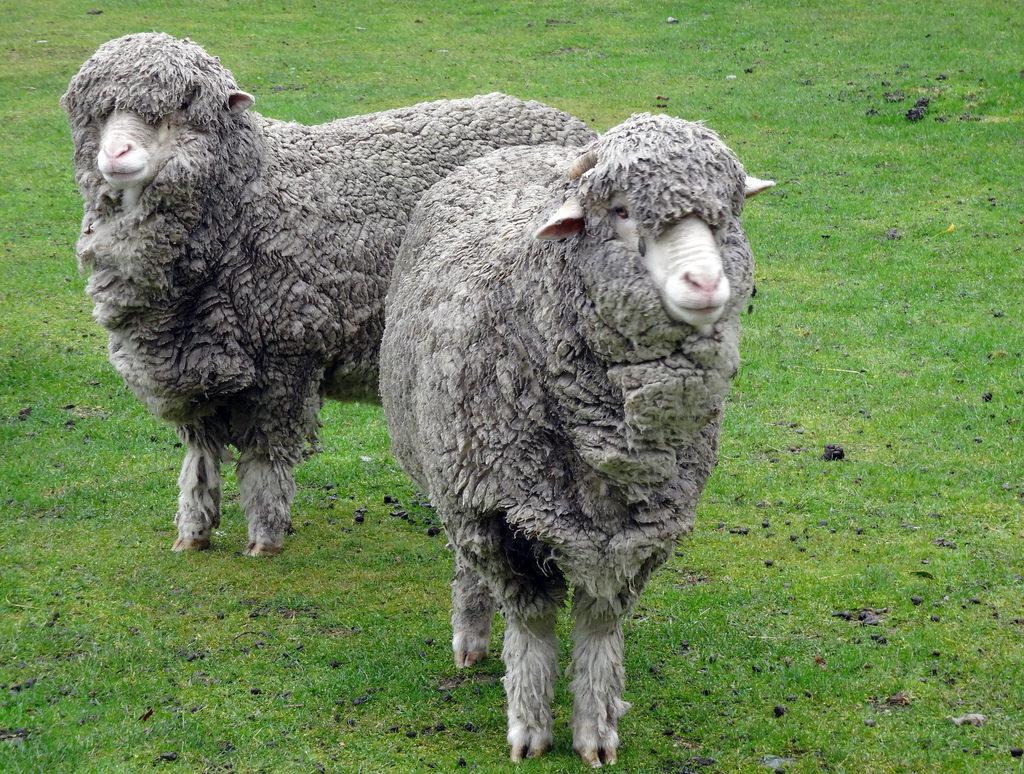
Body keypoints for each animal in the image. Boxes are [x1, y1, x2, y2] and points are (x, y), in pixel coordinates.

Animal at [61, 32, 594, 557]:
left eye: (183, 107)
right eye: (97, 113)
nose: (116, 155)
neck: (249, 197)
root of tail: (569, 126)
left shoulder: (287, 358)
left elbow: (265, 459)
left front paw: (264, 540)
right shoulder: (195, 366)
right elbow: (199, 460)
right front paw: (192, 533)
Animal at [380, 113, 773, 766]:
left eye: (728, 213)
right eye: (619, 210)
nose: (704, 281)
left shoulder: (637, 536)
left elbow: (598, 634)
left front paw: (596, 733)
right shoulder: (497, 516)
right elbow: (532, 629)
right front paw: (529, 729)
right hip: (453, 476)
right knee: (465, 564)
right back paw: (470, 637)